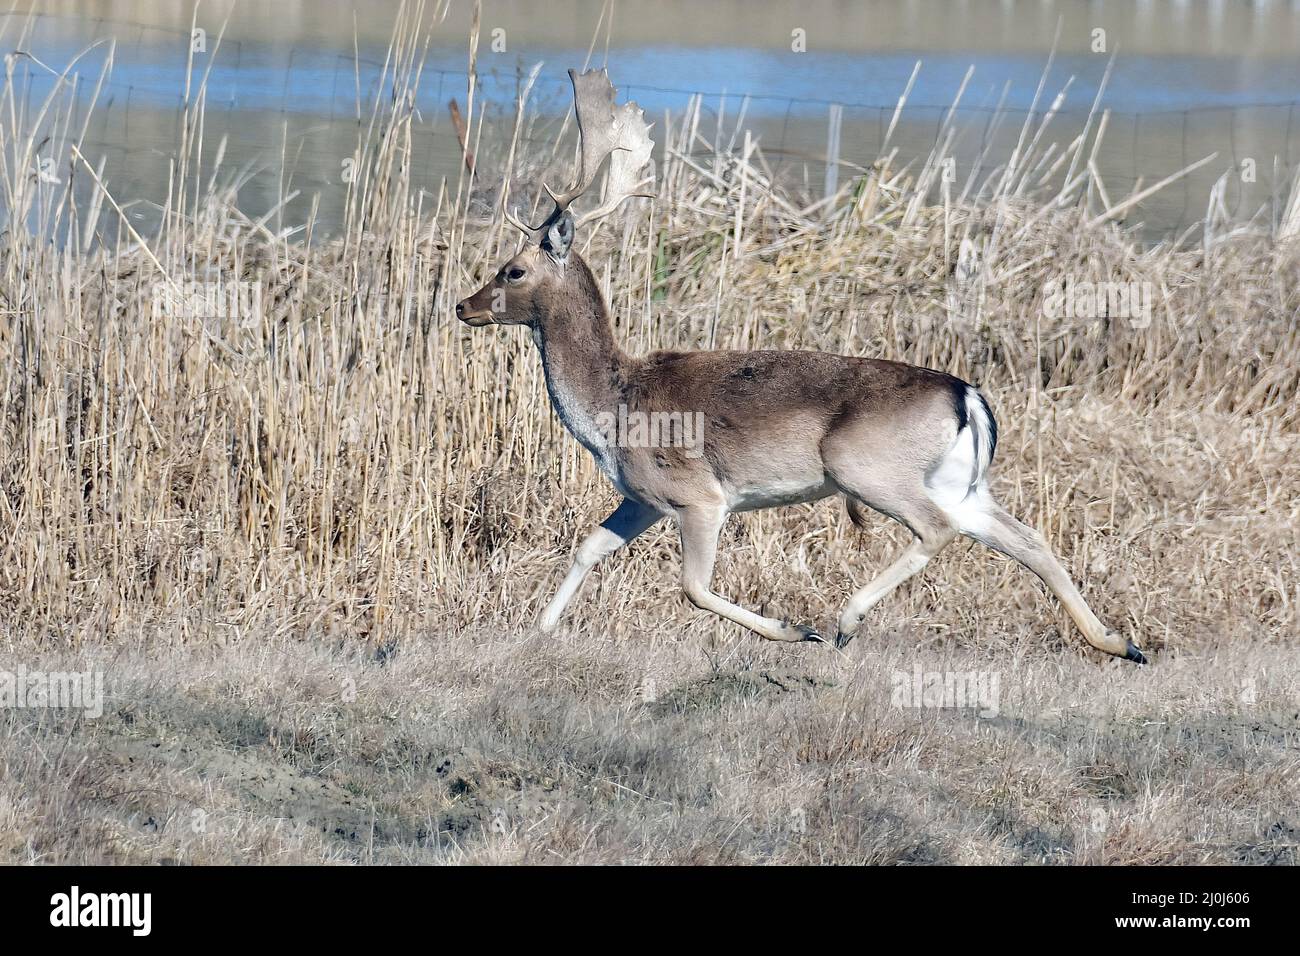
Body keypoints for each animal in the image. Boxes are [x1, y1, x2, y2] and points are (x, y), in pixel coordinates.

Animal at [455, 69, 1145, 665]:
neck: (612, 406)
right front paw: (536, 633)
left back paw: (844, 621)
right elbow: (587, 547)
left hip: (864, 465)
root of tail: (968, 397)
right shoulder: (642, 496)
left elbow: (692, 588)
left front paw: (795, 629)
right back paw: (1122, 642)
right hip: (964, 483)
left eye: (513, 269)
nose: (464, 305)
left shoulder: (699, 493)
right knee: (1032, 541)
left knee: (936, 529)